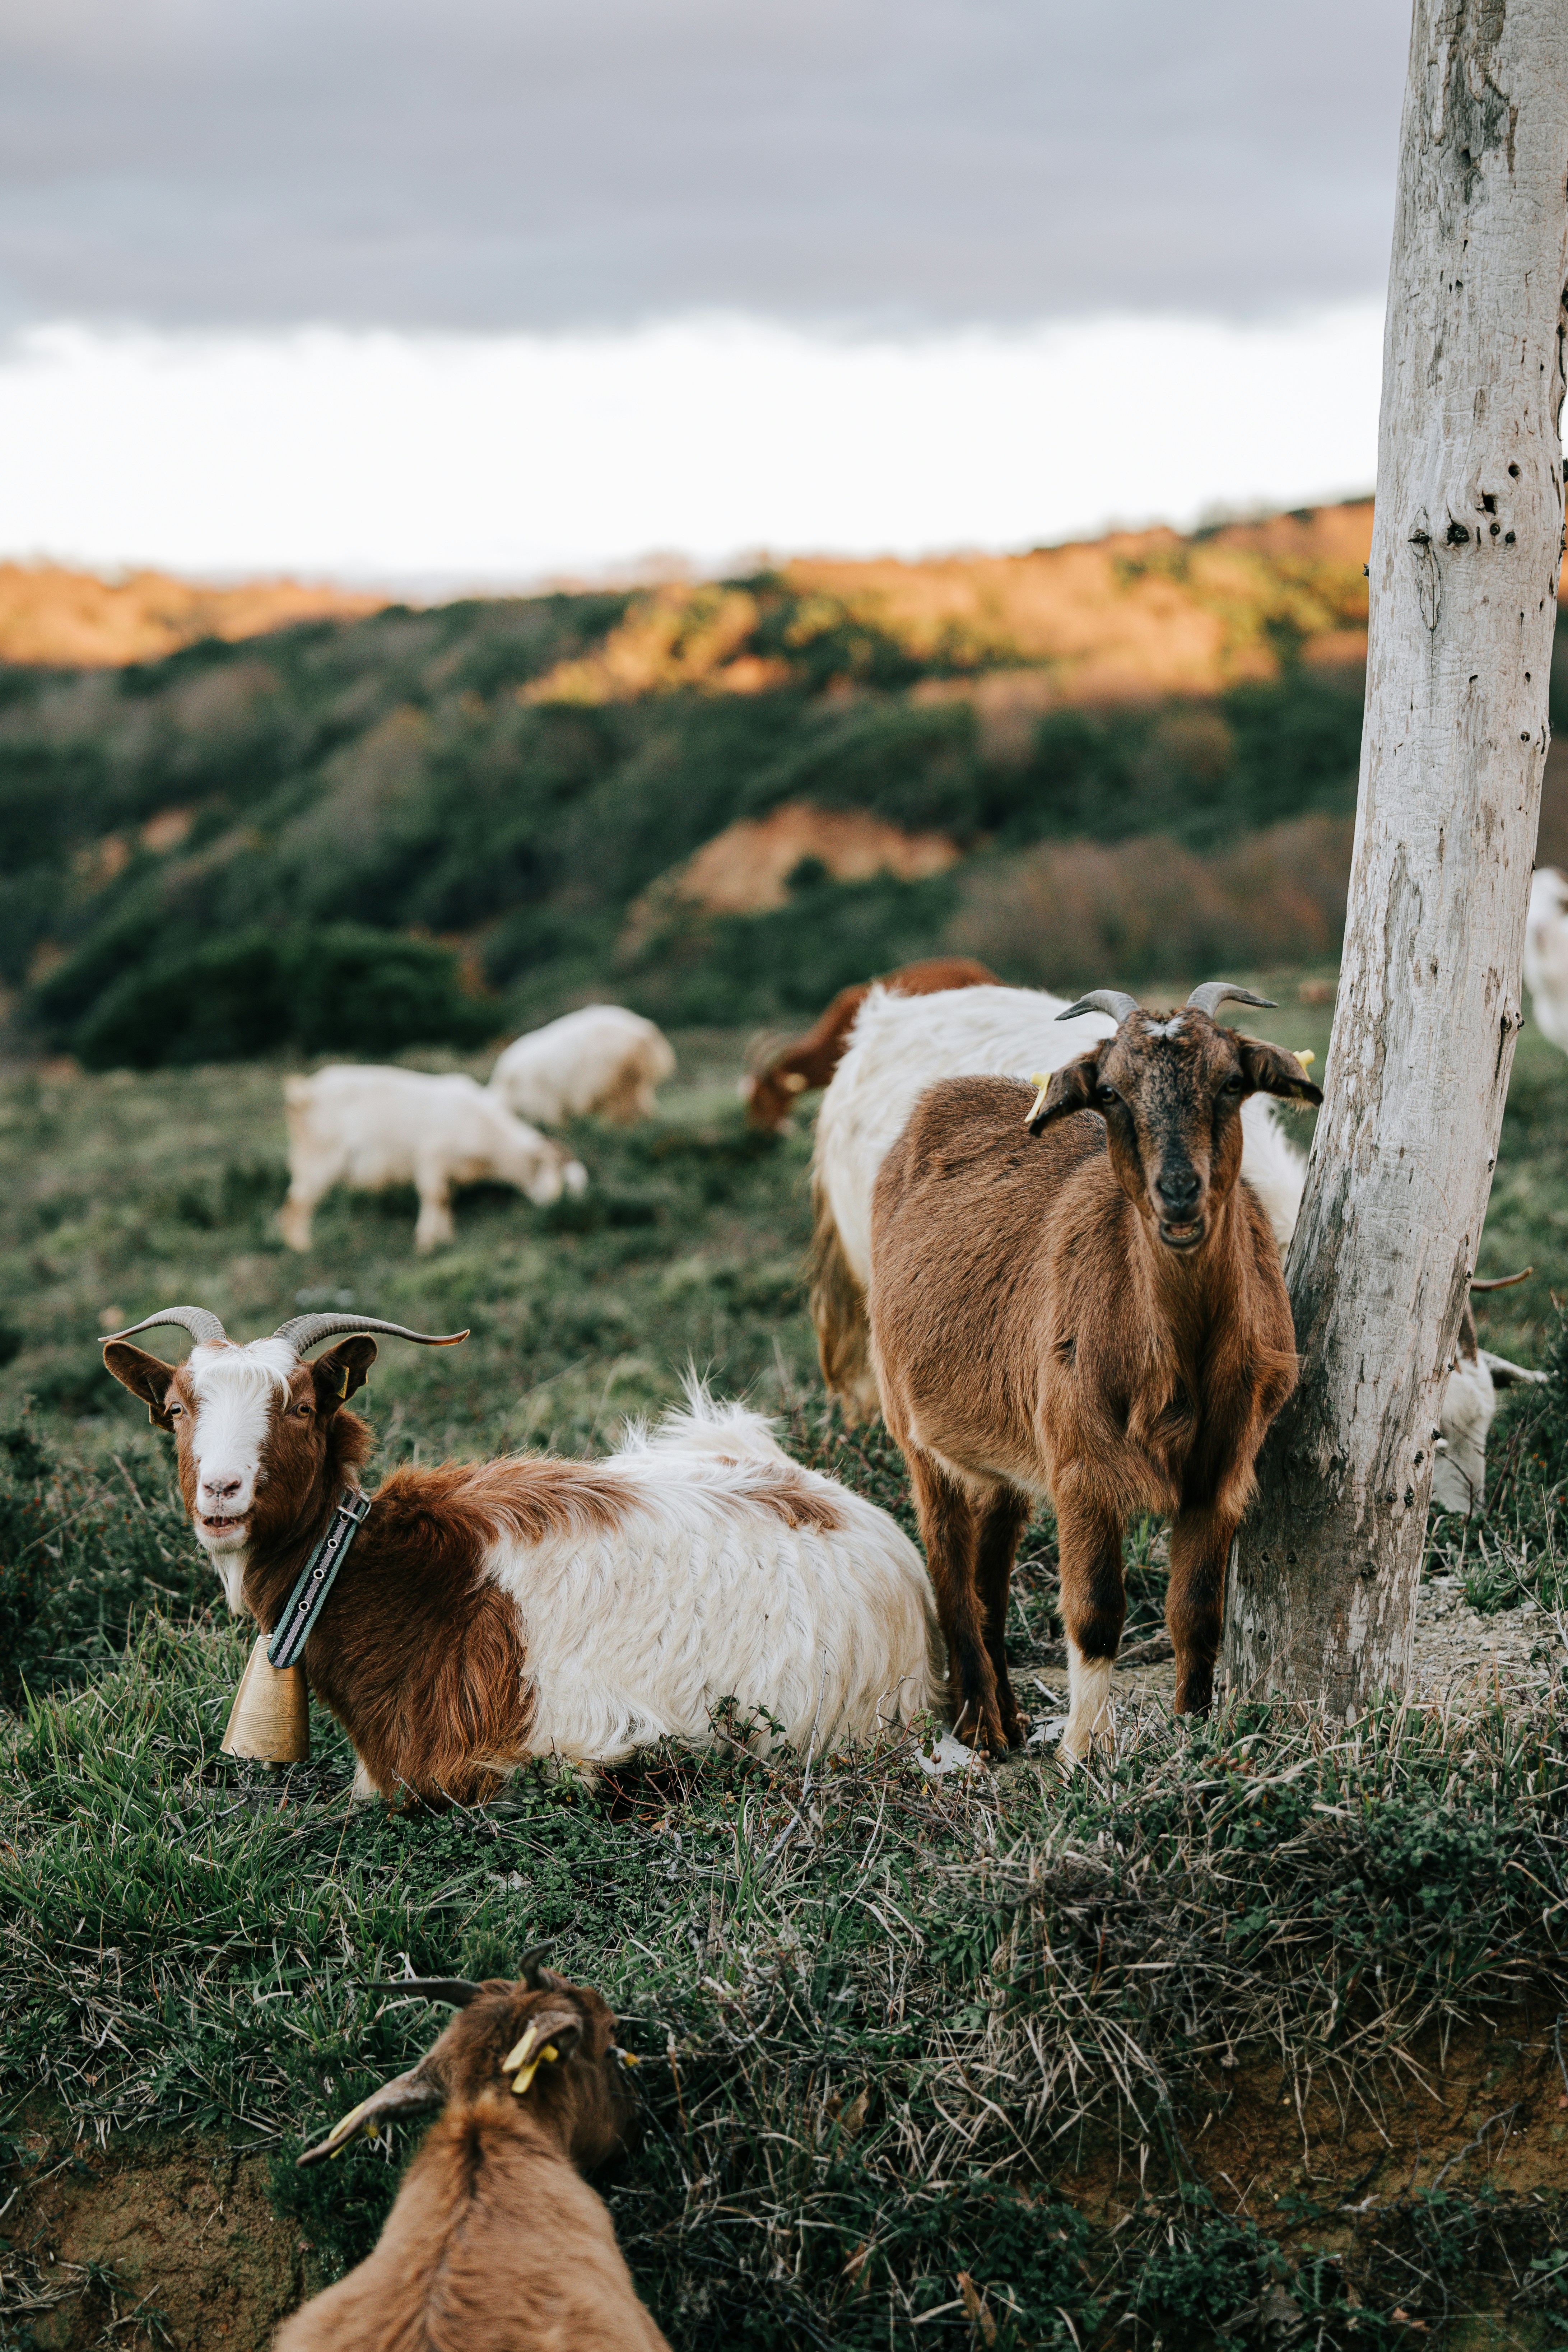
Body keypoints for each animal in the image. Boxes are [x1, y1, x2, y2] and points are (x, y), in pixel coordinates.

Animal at [281, 1065, 587, 1254]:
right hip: (322, 1158)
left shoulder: (448, 1170)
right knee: (300, 1199)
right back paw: (302, 1247)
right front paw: (426, 1243)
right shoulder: (431, 1160)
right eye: (560, 1179)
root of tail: (307, 1092)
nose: (554, 1209)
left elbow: (446, 1199)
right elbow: (435, 1197)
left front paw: (446, 1238)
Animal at [490, 1005, 676, 1126]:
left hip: (611, 1067)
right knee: (640, 1097)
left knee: (622, 1101)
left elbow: (551, 1116)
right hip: (634, 1072)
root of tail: (646, 1036)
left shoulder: (539, 1095)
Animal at [866, 982, 1322, 1762]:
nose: (1178, 1191)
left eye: (1230, 1081)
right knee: (949, 1562)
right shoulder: (1081, 1465)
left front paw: (1192, 1728)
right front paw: (1084, 1748)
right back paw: (978, 1723)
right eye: (1109, 1092)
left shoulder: (1221, 1467)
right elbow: (1094, 1610)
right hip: (916, 1431)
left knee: (989, 1573)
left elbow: (1195, 1610)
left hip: (1007, 1457)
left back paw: (1009, 1715)